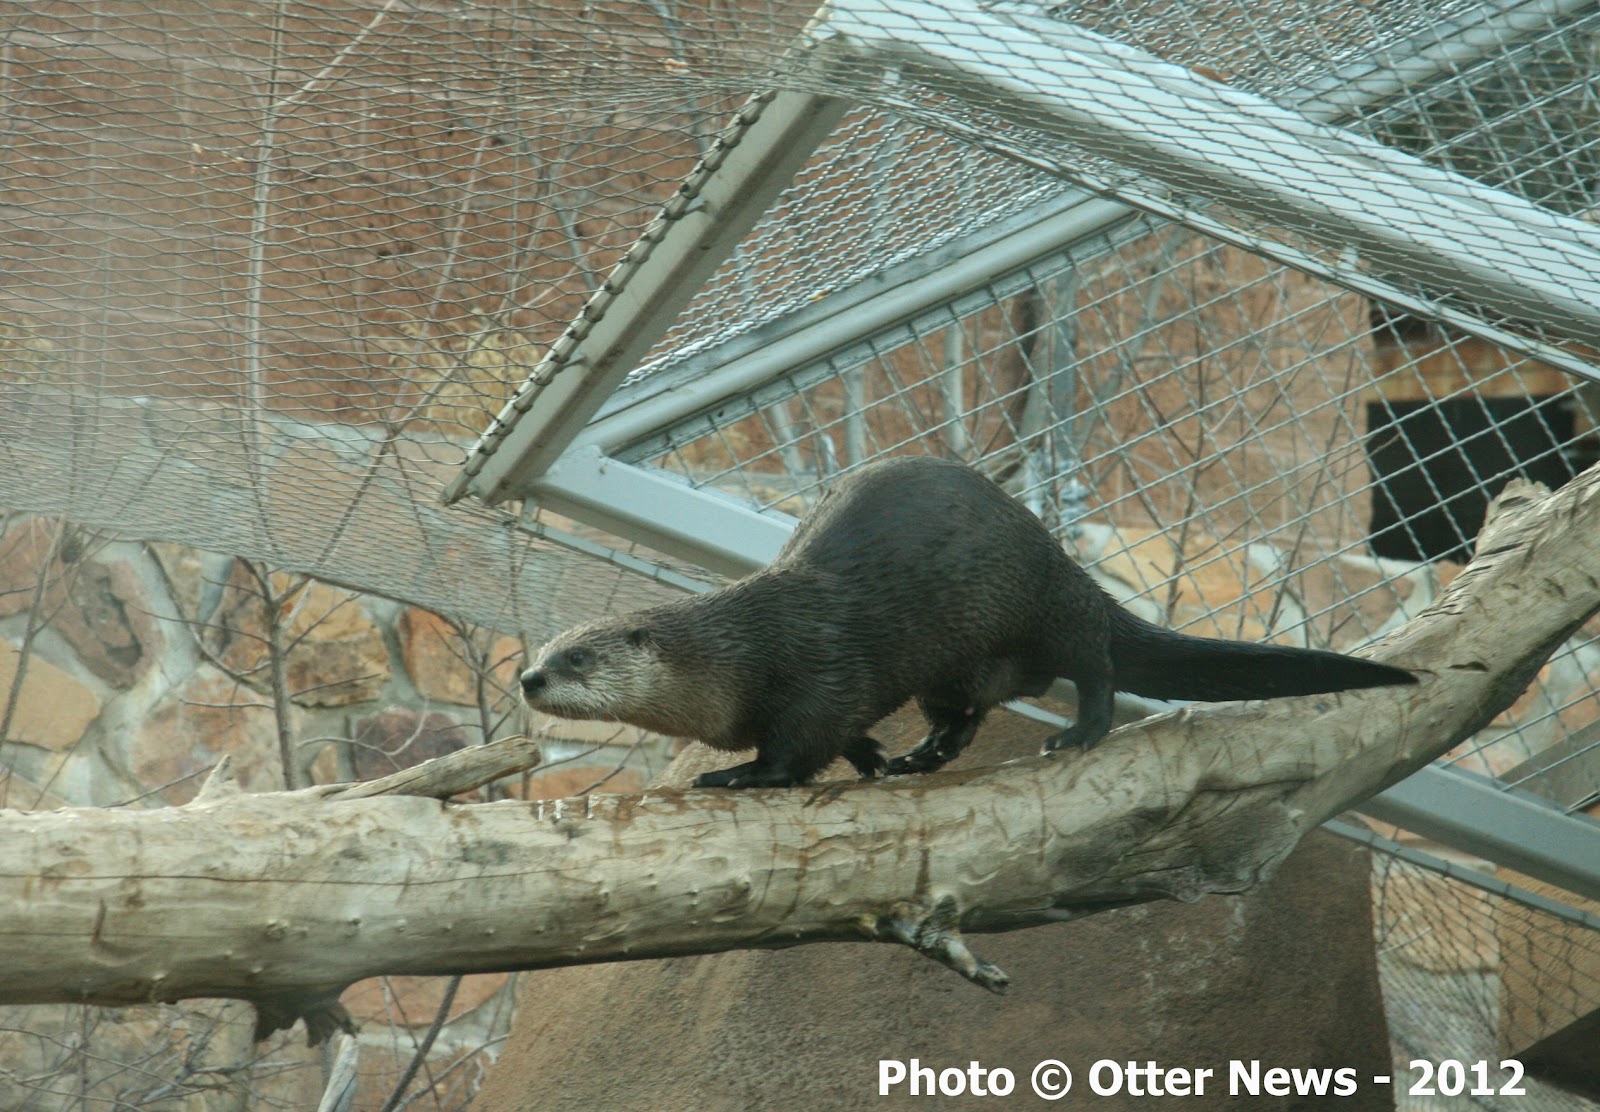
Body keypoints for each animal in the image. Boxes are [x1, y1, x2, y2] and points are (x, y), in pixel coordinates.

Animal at [520, 456, 1415, 788]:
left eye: (578, 657)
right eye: (541, 649)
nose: (527, 677)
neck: (739, 653)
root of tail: (1060, 553)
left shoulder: (816, 669)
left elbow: (800, 747)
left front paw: (736, 776)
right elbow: (849, 736)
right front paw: (878, 759)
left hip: (1041, 606)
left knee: (1095, 665)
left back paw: (1078, 734)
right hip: (956, 661)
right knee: (970, 710)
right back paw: (925, 754)